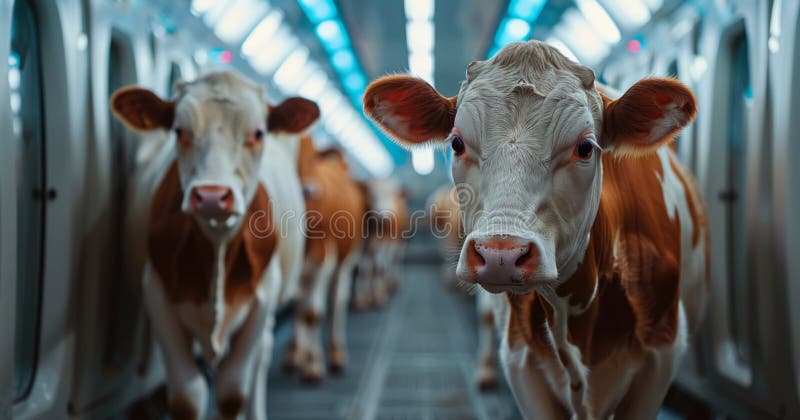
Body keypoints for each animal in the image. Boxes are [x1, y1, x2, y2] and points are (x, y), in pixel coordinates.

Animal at [110, 71, 319, 419]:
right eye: (179, 131)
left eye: (258, 133)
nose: (211, 196)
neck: (216, 245)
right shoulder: (157, 294)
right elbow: (187, 395)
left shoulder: (263, 299)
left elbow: (232, 392)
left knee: (262, 356)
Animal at [282, 136, 366, 381]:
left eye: (312, 159)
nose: (308, 189)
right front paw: (300, 356)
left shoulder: (323, 258)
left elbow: (313, 313)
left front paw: (313, 365)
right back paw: (294, 353)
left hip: (347, 259)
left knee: (338, 300)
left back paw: (336, 353)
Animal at [352, 178, 409, 310]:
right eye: (372, 196)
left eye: (392, 196)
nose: (385, 218)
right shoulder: (361, 246)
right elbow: (363, 269)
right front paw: (360, 299)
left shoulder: (385, 244)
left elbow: (379, 268)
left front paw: (379, 296)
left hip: (400, 243)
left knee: (393, 262)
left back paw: (391, 283)